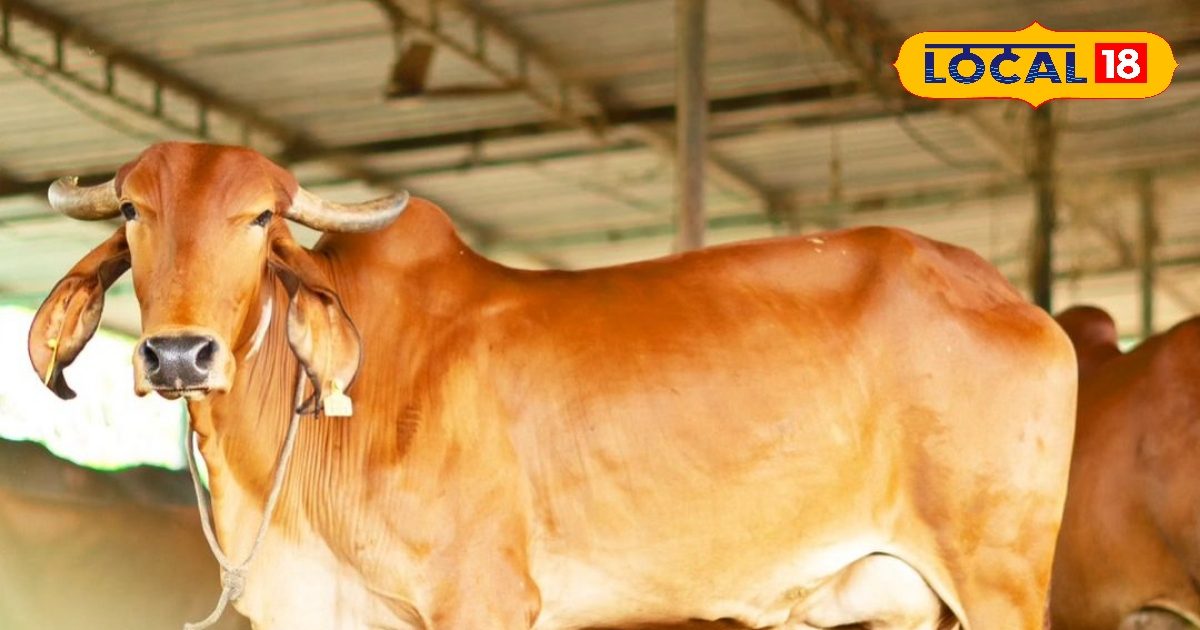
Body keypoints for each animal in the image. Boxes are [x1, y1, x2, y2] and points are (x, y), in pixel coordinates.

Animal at [28, 141, 1076, 629]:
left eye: (259, 219)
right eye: (133, 211)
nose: (178, 357)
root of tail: (1010, 299)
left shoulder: (484, 599)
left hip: (1000, 580)